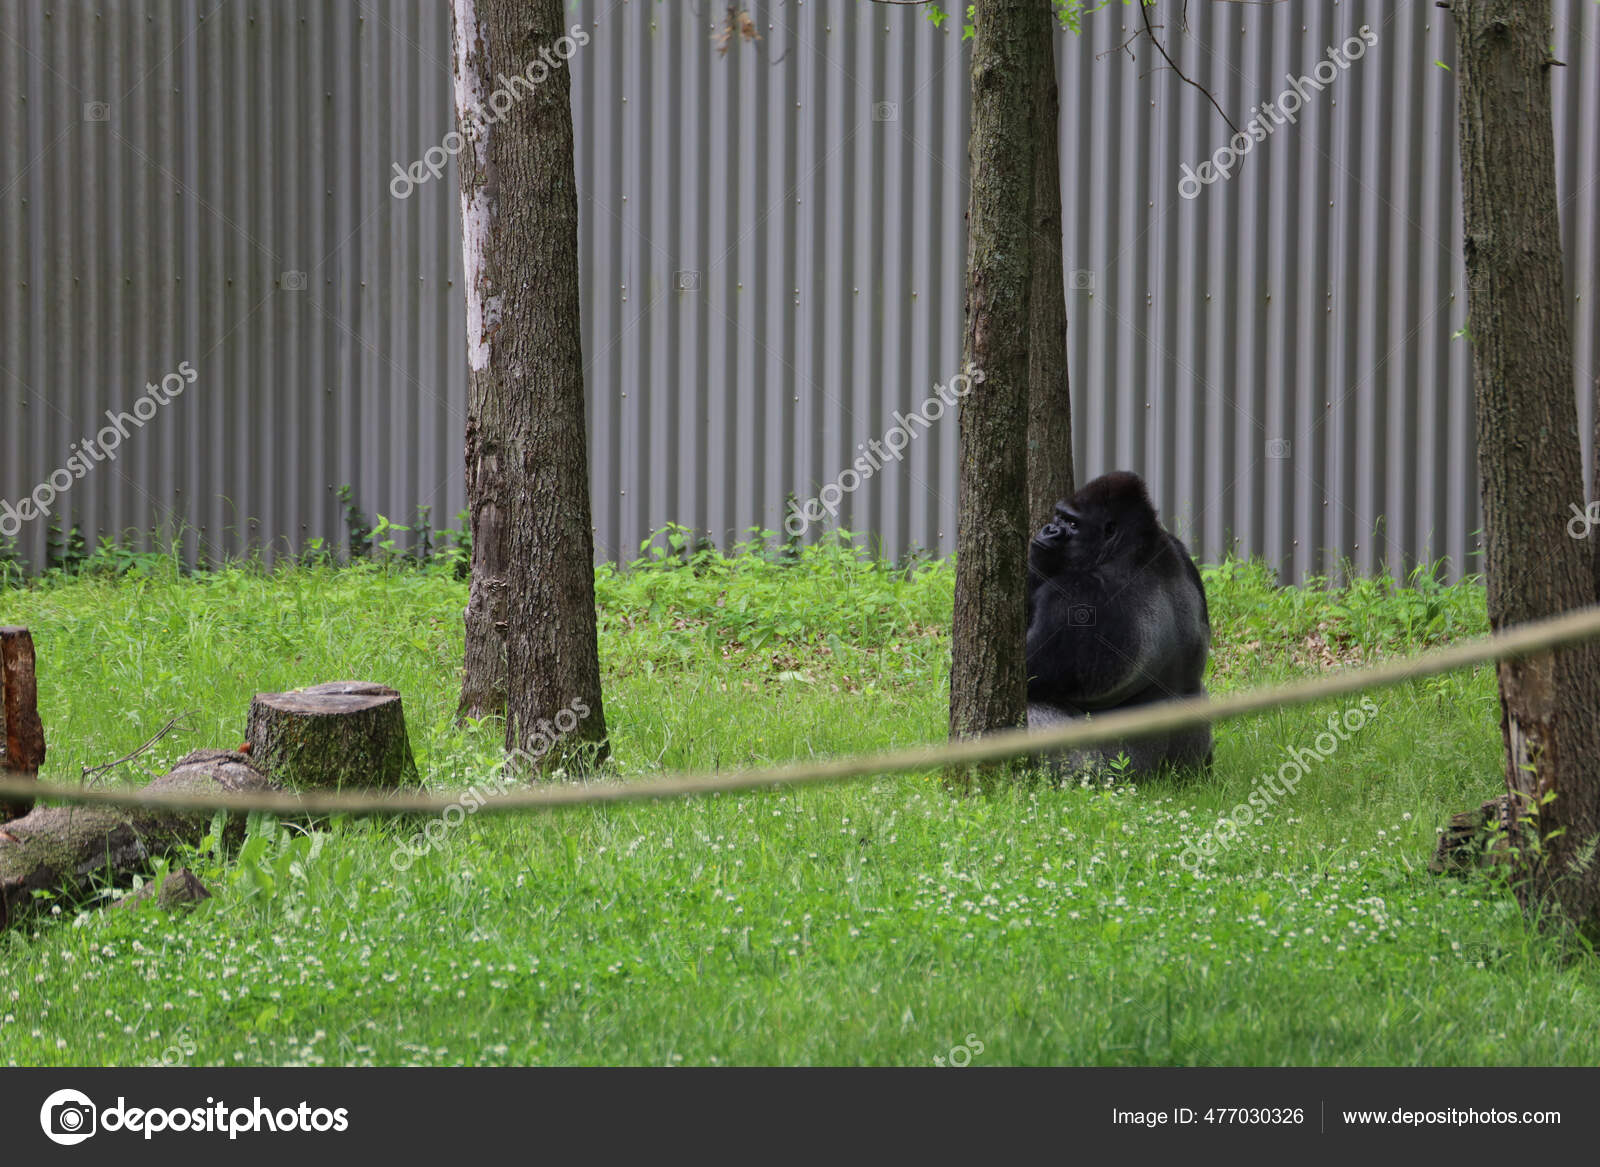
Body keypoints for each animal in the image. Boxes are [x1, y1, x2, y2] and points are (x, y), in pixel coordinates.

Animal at [1024, 471, 1212, 778]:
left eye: (1073, 524)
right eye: (1058, 516)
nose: (1049, 529)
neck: (1132, 549)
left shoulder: (1075, 597)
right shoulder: (1181, 551)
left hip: (1109, 775)